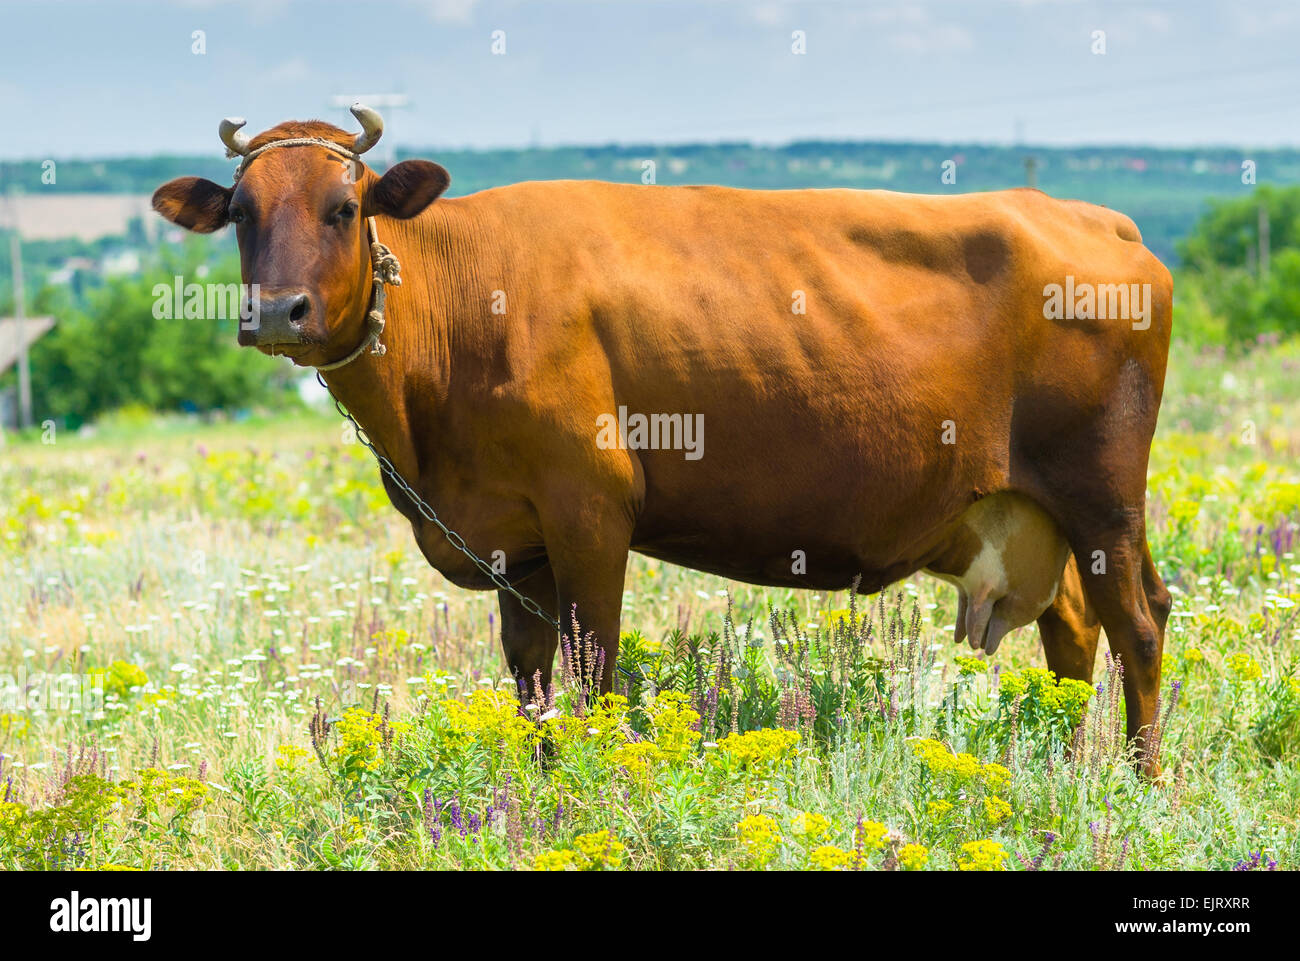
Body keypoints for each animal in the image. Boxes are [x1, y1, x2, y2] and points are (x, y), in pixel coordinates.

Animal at [153, 106, 1173, 773]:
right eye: (240, 211)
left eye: (346, 206)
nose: (275, 312)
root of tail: (1098, 217)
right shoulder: (512, 544)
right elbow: (531, 678)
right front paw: (544, 785)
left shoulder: (590, 510)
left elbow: (596, 667)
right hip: (1028, 510)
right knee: (1073, 629)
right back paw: (1058, 762)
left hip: (1104, 497)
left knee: (1138, 620)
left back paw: (1140, 780)